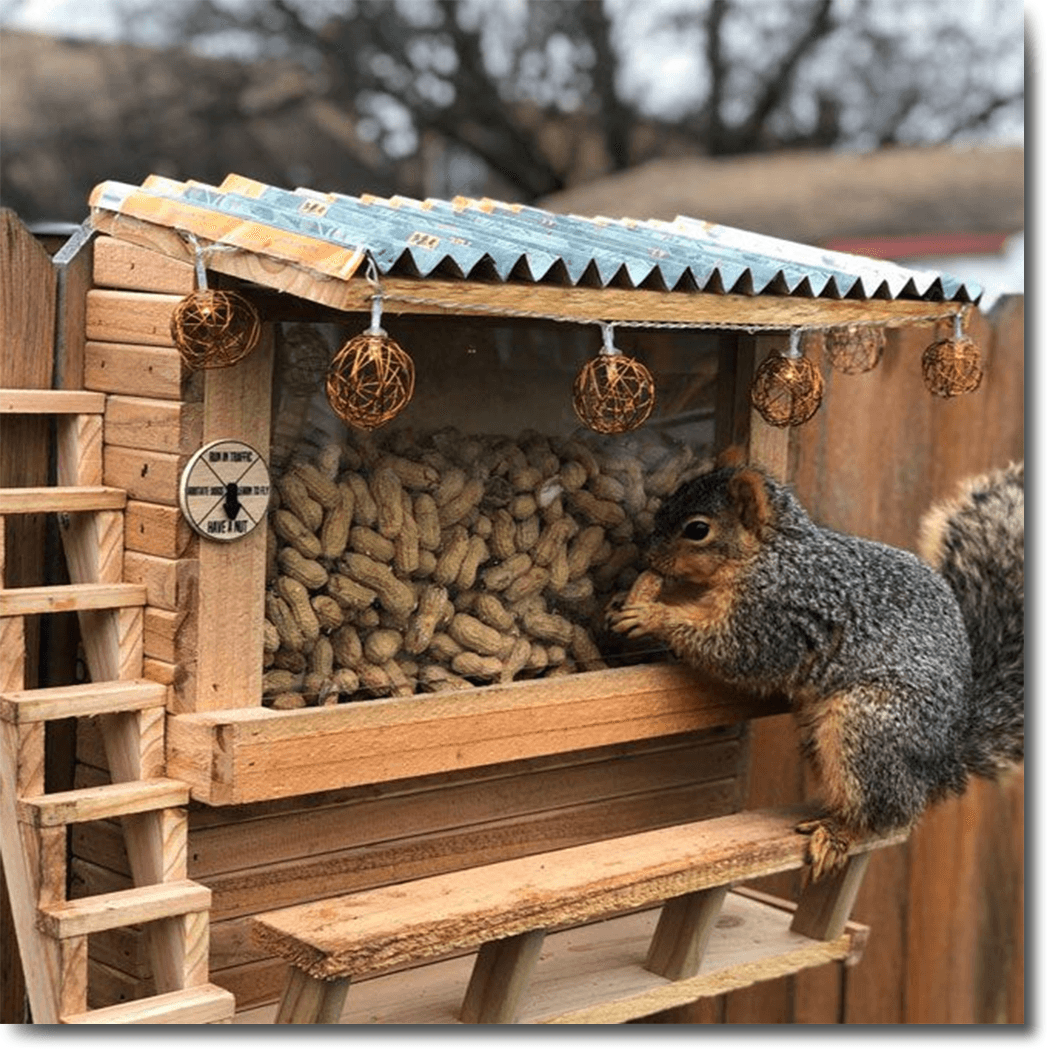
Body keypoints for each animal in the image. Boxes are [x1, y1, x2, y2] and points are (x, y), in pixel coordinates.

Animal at [608, 448, 1024, 881]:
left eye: (697, 529)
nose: (648, 556)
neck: (772, 554)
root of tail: (945, 761)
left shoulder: (776, 617)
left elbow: (735, 651)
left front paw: (651, 615)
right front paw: (627, 601)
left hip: (867, 725)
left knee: (890, 814)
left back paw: (841, 834)